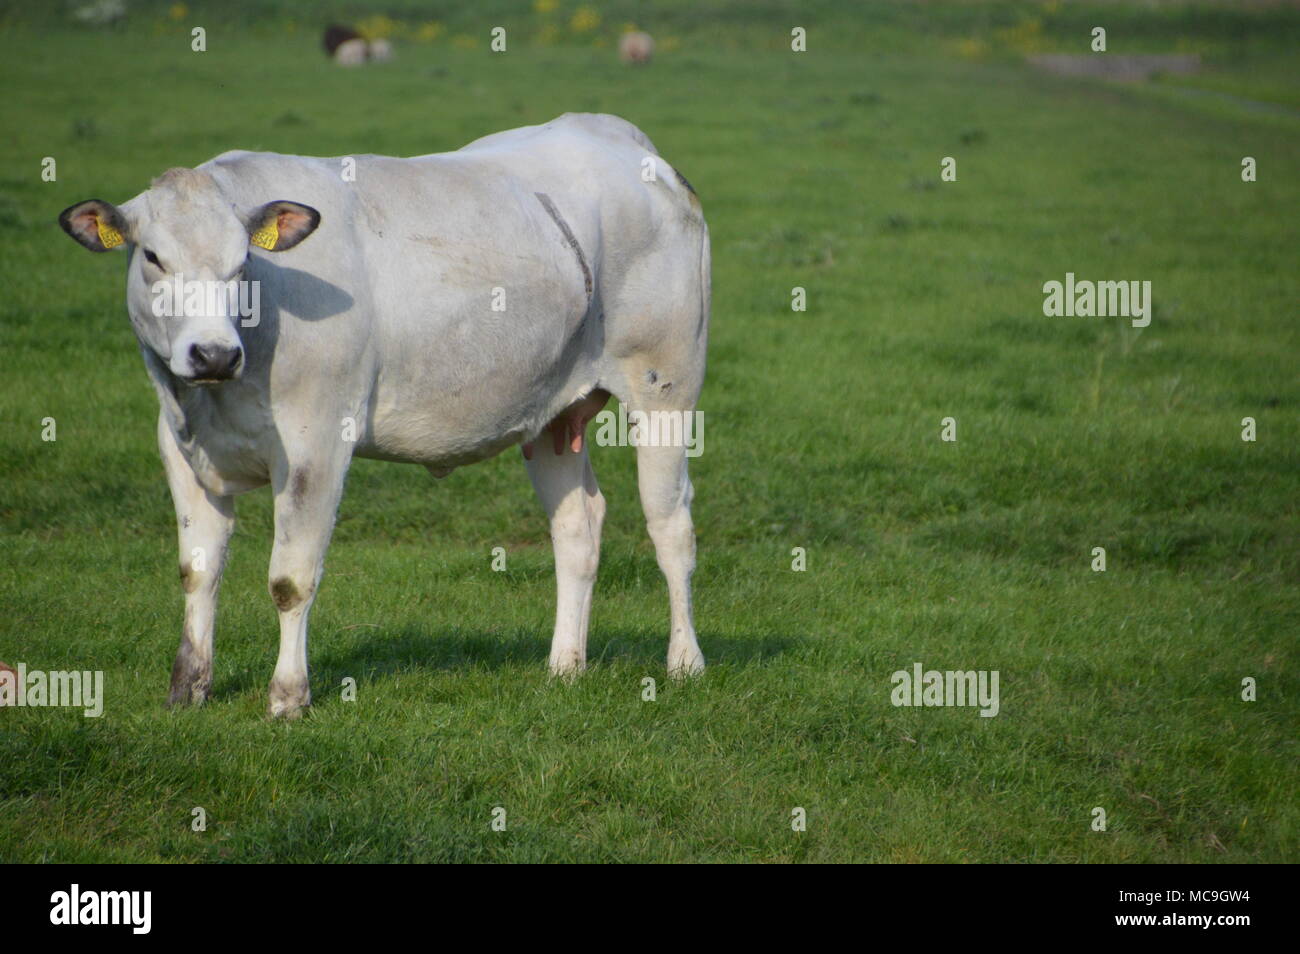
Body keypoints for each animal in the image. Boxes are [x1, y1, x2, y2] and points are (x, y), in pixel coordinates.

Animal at [58, 113, 709, 719]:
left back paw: (684, 663)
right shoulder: (181, 445)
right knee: (577, 527)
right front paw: (188, 689)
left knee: (671, 527)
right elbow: (197, 571)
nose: (214, 353)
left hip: (667, 390)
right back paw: (564, 666)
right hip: (553, 413)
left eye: (241, 263)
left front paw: (288, 697)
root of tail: (617, 135)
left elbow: (290, 580)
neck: (218, 395)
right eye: (152, 256)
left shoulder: (316, 444)